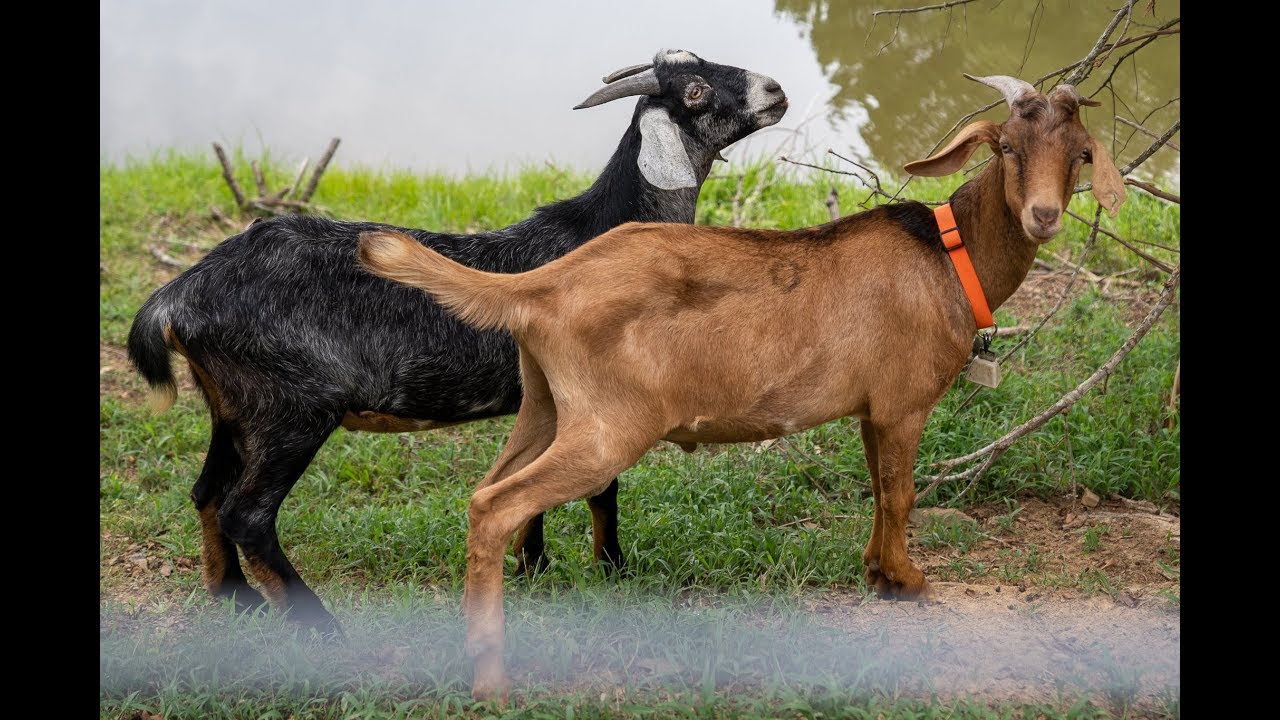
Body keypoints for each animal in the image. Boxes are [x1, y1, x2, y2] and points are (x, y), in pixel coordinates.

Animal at [126, 48, 788, 633]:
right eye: (694, 91)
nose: (776, 90)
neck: (602, 229)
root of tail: (179, 294)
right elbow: (603, 486)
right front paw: (611, 570)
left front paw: (533, 565)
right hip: (290, 407)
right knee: (247, 515)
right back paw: (322, 626)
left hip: (230, 406)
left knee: (207, 493)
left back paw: (235, 600)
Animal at [357, 73, 1127, 699]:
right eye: (1007, 148)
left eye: (1080, 155)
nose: (1042, 216)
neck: (946, 254)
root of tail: (537, 287)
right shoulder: (904, 404)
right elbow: (903, 491)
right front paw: (908, 582)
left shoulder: (871, 409)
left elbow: (879, 489)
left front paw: (877, 573)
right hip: (607, 427)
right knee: (494, 505)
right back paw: (490, 678)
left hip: (547, 407)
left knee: (487, 488)